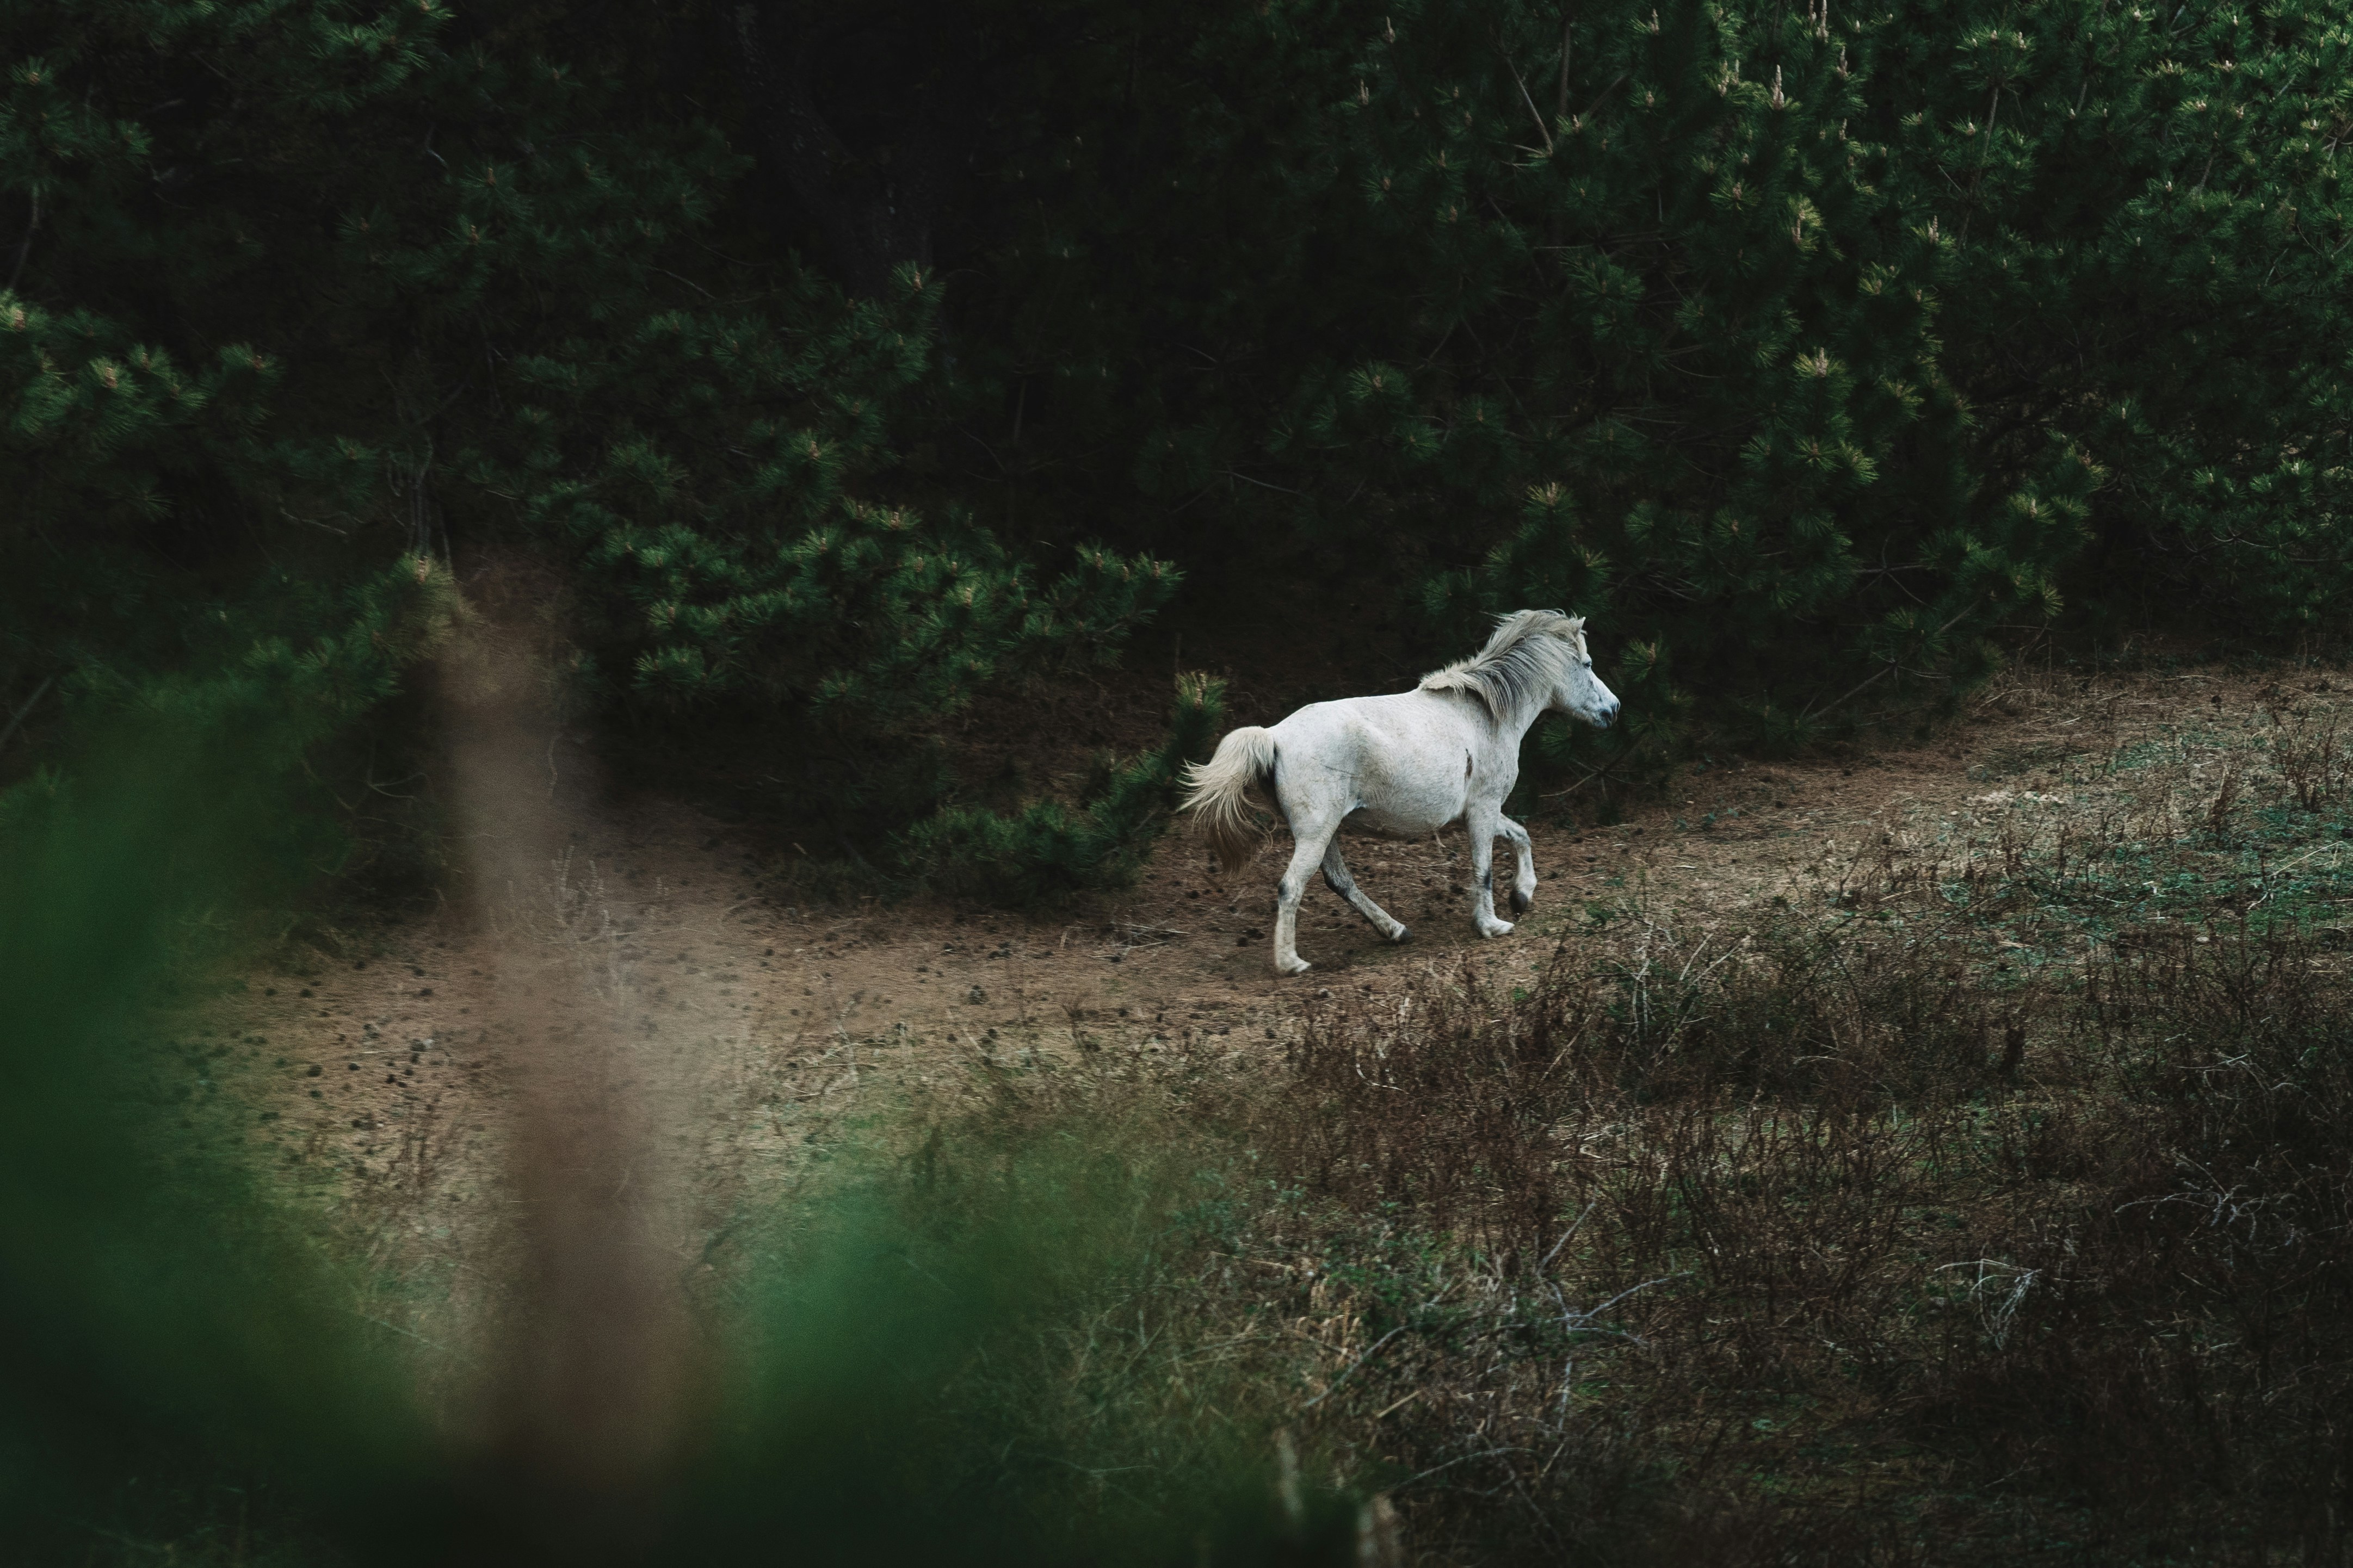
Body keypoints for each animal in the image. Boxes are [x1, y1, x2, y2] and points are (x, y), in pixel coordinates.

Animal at [1179, 609, 1620, 975]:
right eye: (1587, 664)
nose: (1614, 709)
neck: (1487, 714)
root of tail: (1274, 737)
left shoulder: (1484, 810)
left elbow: (1521, 836)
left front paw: (1522, 896)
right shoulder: (1483, 809)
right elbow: (1484, 868)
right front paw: (1493, 925)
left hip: (1324, 832)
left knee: (1339, 882)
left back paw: (1395, 931)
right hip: (1315, 833)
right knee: (1291, 887)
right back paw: (1291, 963)